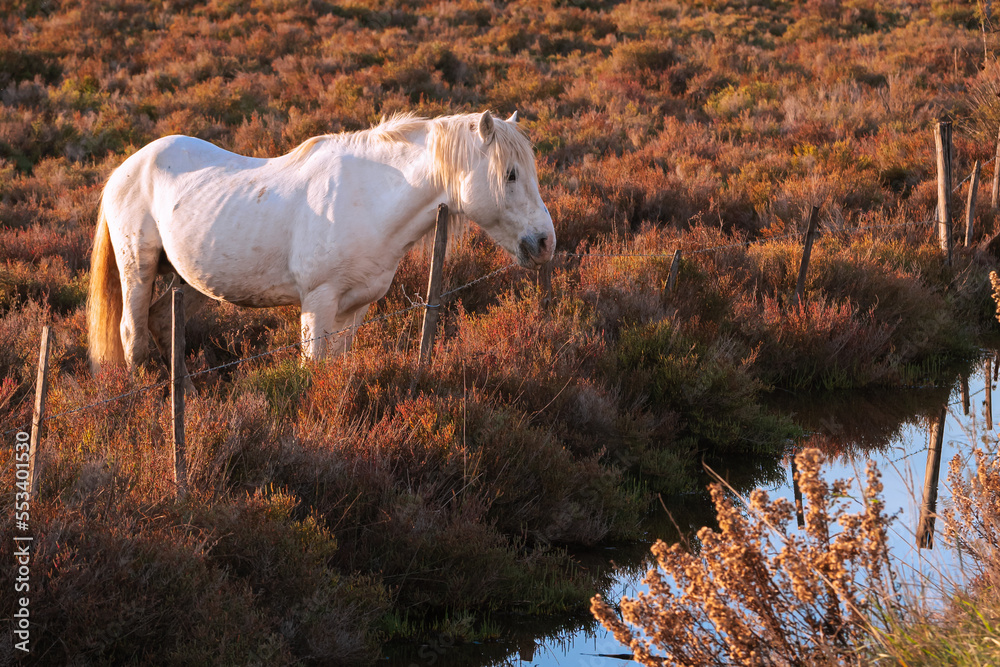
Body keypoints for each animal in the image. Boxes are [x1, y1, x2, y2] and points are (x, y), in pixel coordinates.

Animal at [87, 110, 555, 379]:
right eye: (510, 174)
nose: (545, 242)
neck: (369, 199)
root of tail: (127, 167)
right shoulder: (318, 301)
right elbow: (311, 368)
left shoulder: (354, 307)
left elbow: (335, 365)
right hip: (138, 268)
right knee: (131, 332)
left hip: (183, 278)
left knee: (159, 325)